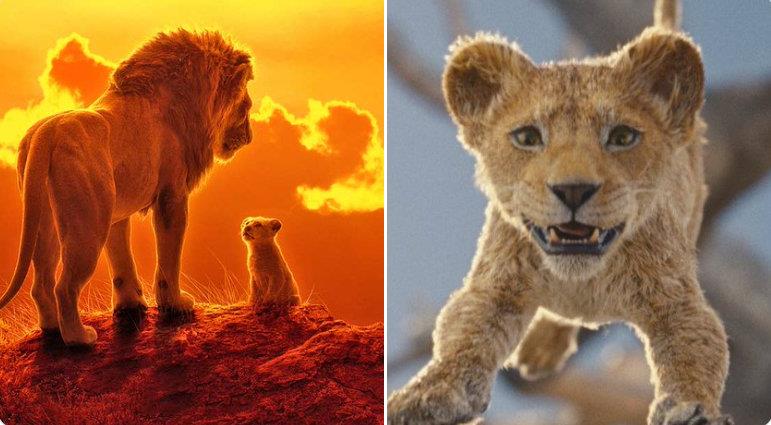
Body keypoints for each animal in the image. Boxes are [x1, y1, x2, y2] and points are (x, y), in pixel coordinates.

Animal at [0, 29, 254, 346]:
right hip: (88, 224)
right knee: (65, 286)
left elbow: (121, 259)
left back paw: (51, 329)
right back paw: (80, 338)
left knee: (42, 282)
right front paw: (175, 304)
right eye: (247, 107)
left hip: (44, 217)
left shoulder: (116, 212)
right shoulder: (171, 195)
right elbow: (169, 256)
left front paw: (130, 305)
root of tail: (48, 133)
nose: (249, 137)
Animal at [387, 1, 732, 424]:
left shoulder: (677, 303)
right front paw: (429, 393)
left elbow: (695, 353)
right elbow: (463, 336)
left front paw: (688, 409)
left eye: (622, 137)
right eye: (527, 137)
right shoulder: (494, 287)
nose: (573, 190)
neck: (581, 281)